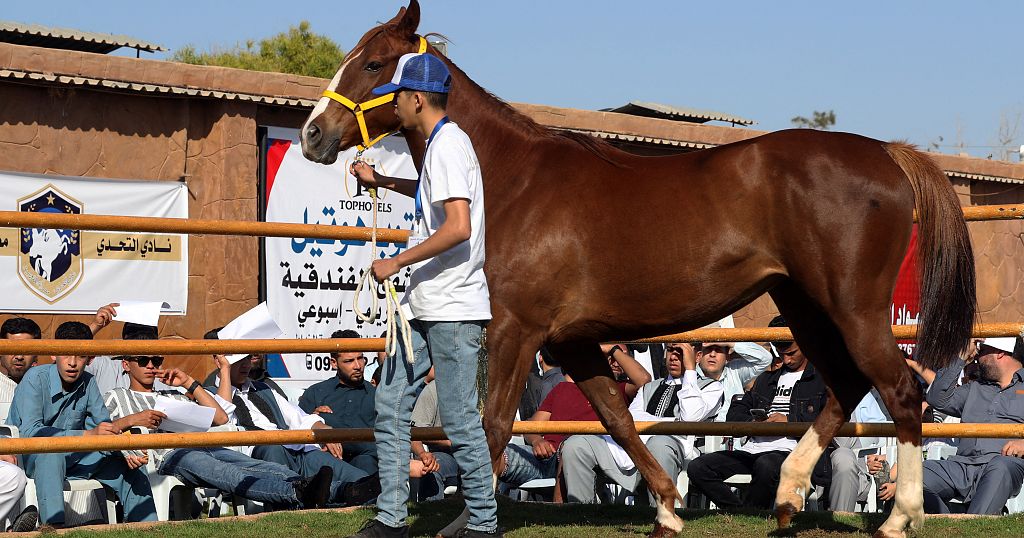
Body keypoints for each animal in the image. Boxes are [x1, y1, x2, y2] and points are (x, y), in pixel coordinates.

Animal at [299, 2, 976, 536]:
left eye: (372, 64)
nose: (312, 135)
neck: (510, 181)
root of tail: (888, 154)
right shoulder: (572, 341)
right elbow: (618, 418)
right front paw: (669, 509)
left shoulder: (517, 329)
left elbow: (491, 424)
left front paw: (468, 522)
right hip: (803, 306)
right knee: (846, 384)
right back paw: (786, 497)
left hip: (853, 307)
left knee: (901, 390)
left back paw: (896, 518)